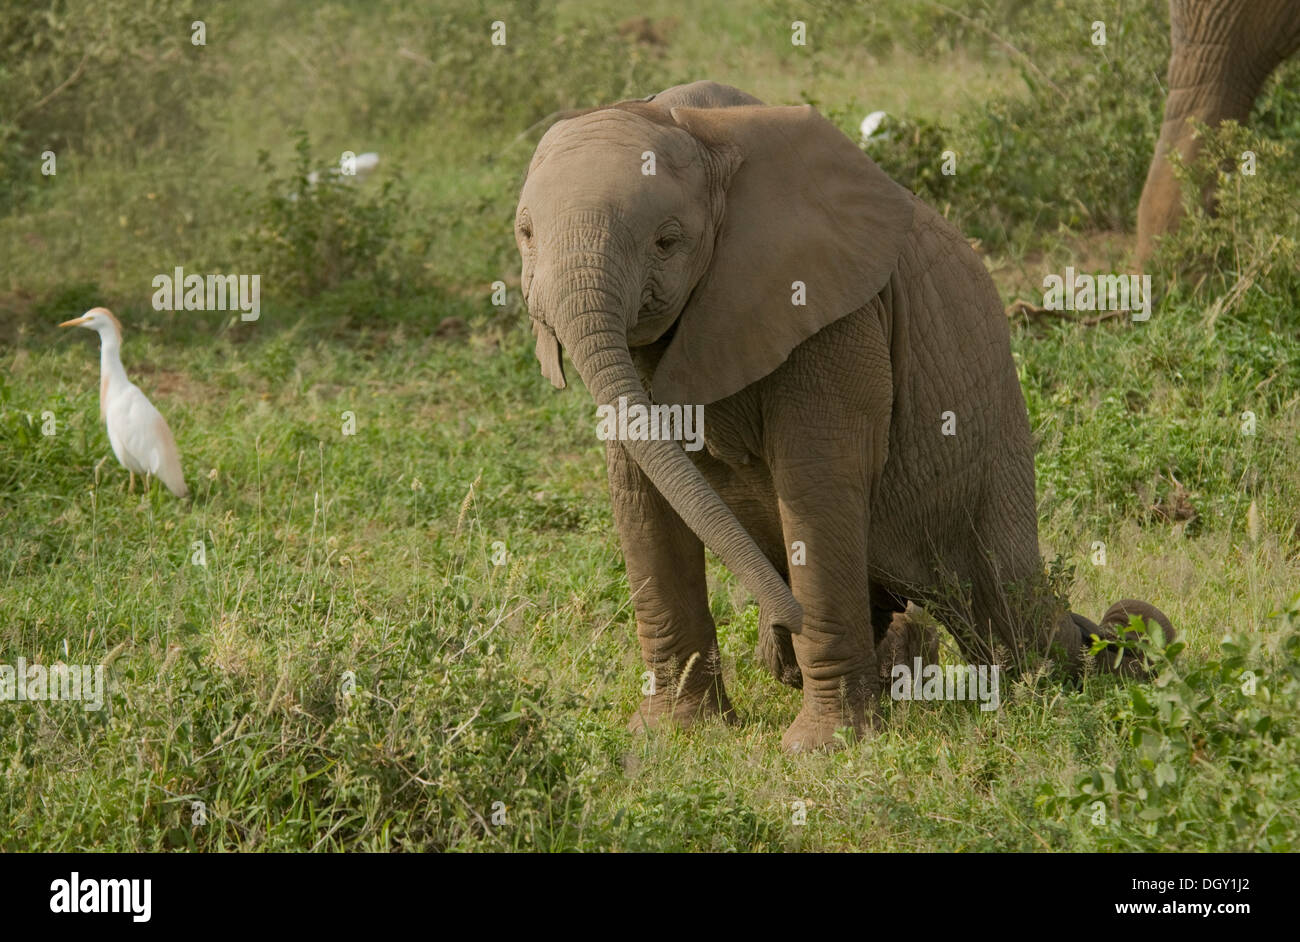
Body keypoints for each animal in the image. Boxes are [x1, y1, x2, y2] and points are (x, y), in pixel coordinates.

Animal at [515, 81, 1174, 753]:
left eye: (666, 242)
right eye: (526, 234)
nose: (785, 619)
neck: (694, 129)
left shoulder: (837, 314)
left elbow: (817, 484)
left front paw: (820, 750)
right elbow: (643, 496)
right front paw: (669, 737)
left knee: (1010, 622)